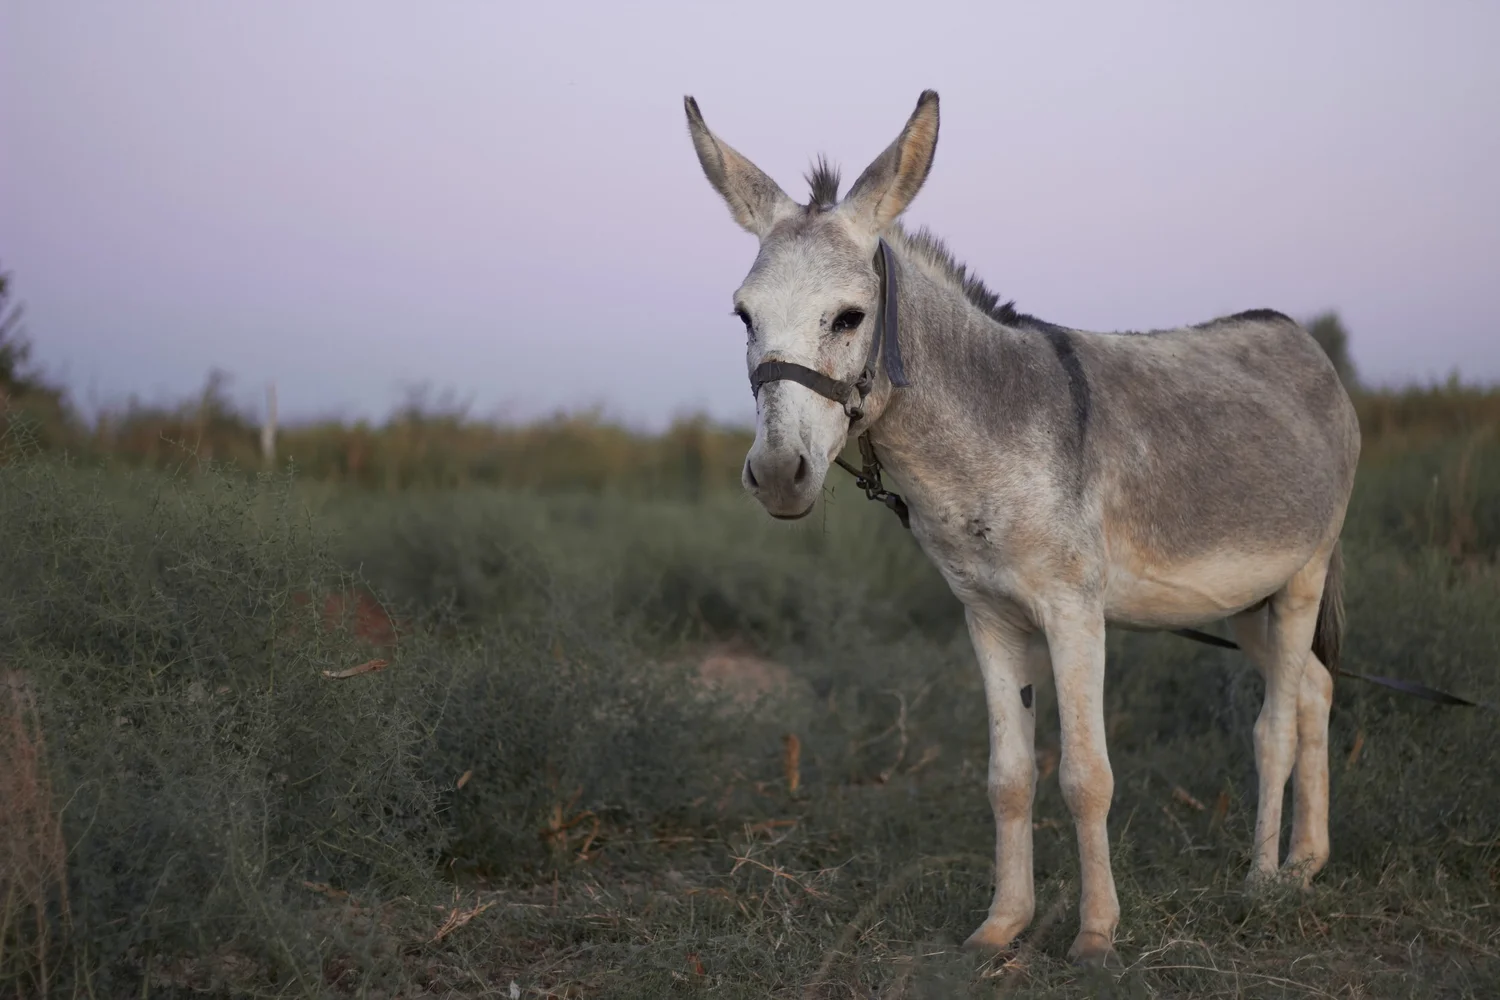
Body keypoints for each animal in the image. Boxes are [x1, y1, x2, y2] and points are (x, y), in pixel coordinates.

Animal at [681, 89, 1360, 967]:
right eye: (743, 317)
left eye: (849, 317)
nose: (774, 475)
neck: (984, 432)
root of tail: (1295, 334)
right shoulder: (989, 616)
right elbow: (1008, 777)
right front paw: (1001, 927)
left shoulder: (1074, 611)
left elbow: (1085, 775)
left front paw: (1096, 934)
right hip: (1244, 599)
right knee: (1313, 686)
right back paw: (1307, 861)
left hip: (1304, 571)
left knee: (1274, 722)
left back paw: (1261, 880)